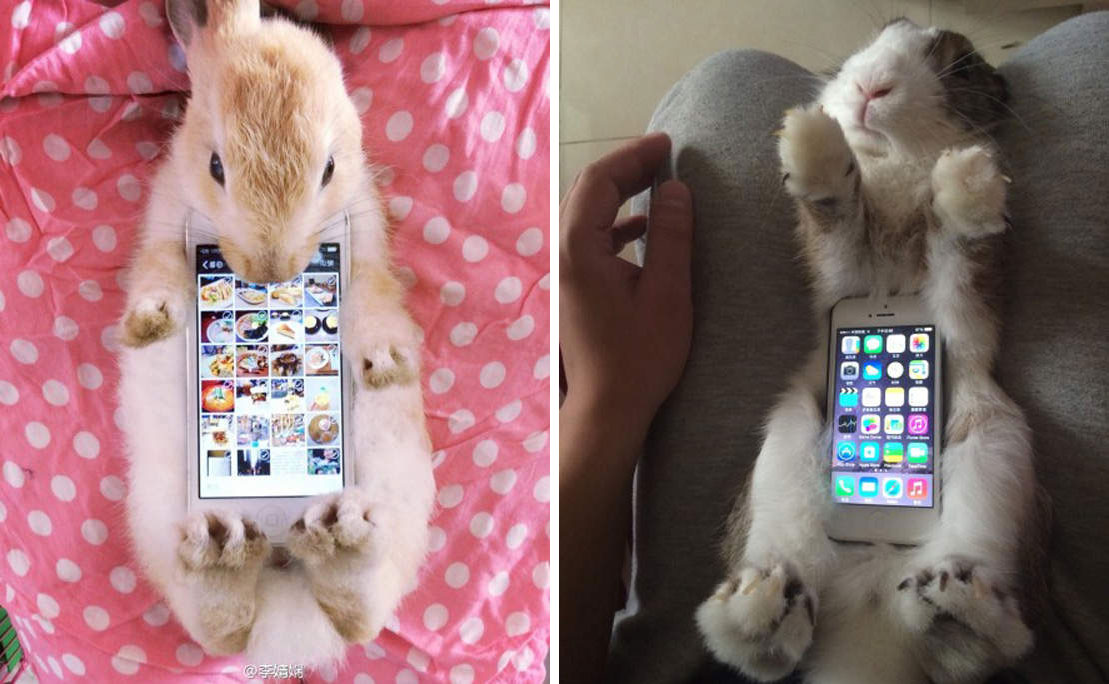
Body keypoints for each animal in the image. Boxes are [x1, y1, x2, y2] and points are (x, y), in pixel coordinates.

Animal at [115, 0, 434, 669]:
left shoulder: (363, 253)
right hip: (156, 523)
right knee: (225, 627)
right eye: (216, 166)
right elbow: (159, 278)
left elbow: (374, 305)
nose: (271, 271)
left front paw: (387, 365)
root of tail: (283, 553)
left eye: (329, 169)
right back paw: (222, 555)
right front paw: (150, 324)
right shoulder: (167, 233)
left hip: (401, 502)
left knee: (358, 616)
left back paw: (336, 544)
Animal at [695, 19, 1047, 684]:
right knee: (770, 616)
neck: (893, 167)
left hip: (996, 442)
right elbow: (834, 219)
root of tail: (872, 597)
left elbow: (962, 250)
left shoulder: (962, 311)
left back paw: (954, 601)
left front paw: (968, 179)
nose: (871, 86)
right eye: (878, 36)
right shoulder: (841, 287)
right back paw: (764, 604)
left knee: (972, 643)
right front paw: (811, 141)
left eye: (961, 66)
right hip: (786, 445)